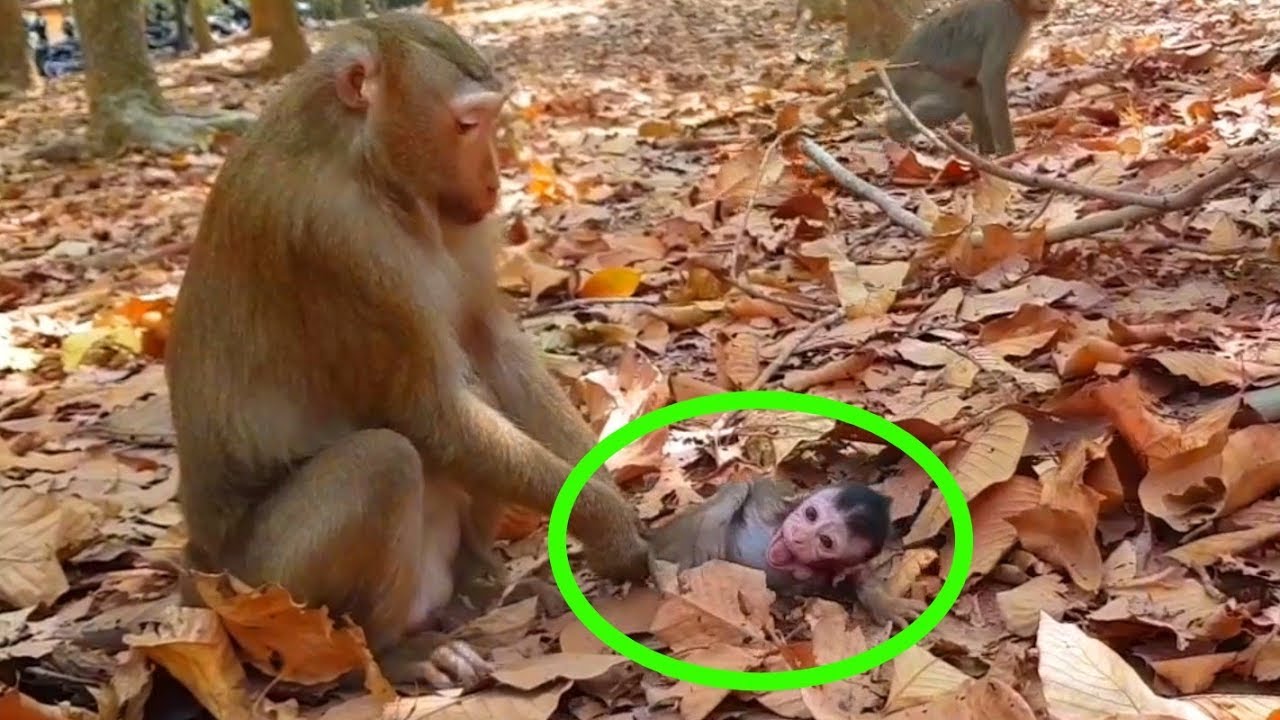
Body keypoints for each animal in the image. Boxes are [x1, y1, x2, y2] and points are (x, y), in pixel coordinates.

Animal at [164, 12, 649, 690]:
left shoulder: (452, 214)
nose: (494, 181)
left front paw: (601, 485)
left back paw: (476, 581)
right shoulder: (337, 239)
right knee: (383, 461)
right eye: (468, 125)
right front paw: (611, 529)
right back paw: (388, 649)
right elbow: (429, 412)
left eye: (491, 121)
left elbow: (490, 343)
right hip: (264, 593)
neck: (368, 163)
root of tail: (202, 568)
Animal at [649, 478, 926, 628]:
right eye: (811, 514)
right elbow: (741, 488)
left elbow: (857, 572)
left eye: (825, 541)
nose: (799, 535)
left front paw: (885, 603)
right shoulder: (769, 502)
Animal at [815, 0, 1055, 156]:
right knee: (954, 101)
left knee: (969, 89)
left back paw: (983, 153)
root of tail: (894, 62)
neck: (1018, 7)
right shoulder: (1006, 22)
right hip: (915, 77)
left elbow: (979, 82)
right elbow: (990, 77)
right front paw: (1010, 155)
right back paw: (895, 131)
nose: (1046, 3)